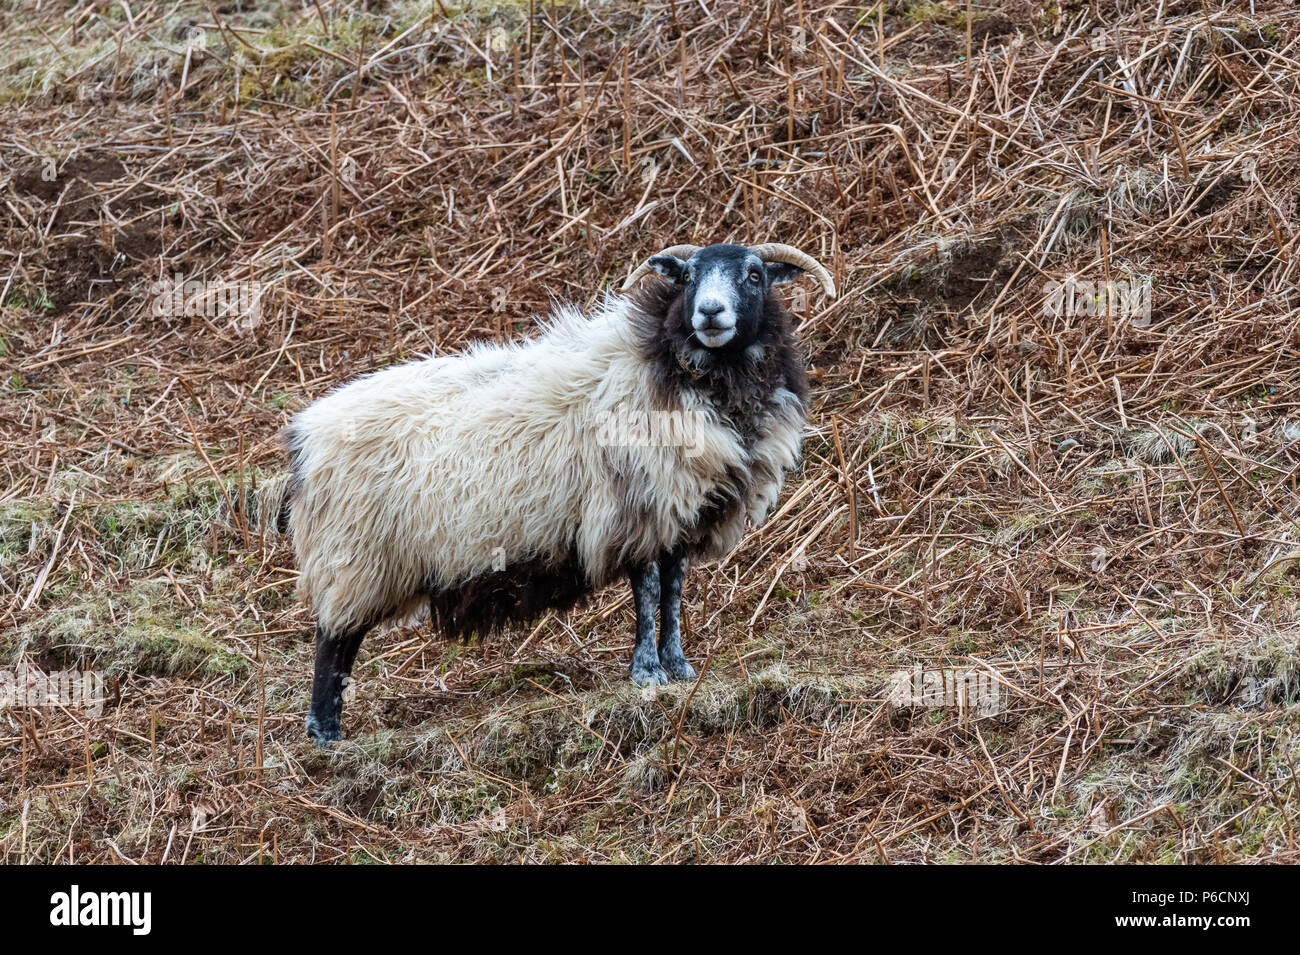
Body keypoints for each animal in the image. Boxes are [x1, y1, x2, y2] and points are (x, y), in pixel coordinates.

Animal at [286, 242, 835, 745]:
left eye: (755, 275)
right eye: (687, 277)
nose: (711, 312)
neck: (672, 367)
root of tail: (303, 439)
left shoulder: (680, 516)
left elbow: (675, 593)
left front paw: (679, 667)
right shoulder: (636, 510)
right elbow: (648, 593)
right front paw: (646, 673)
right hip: (353, 555)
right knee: (332, 645)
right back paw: (325, 734)